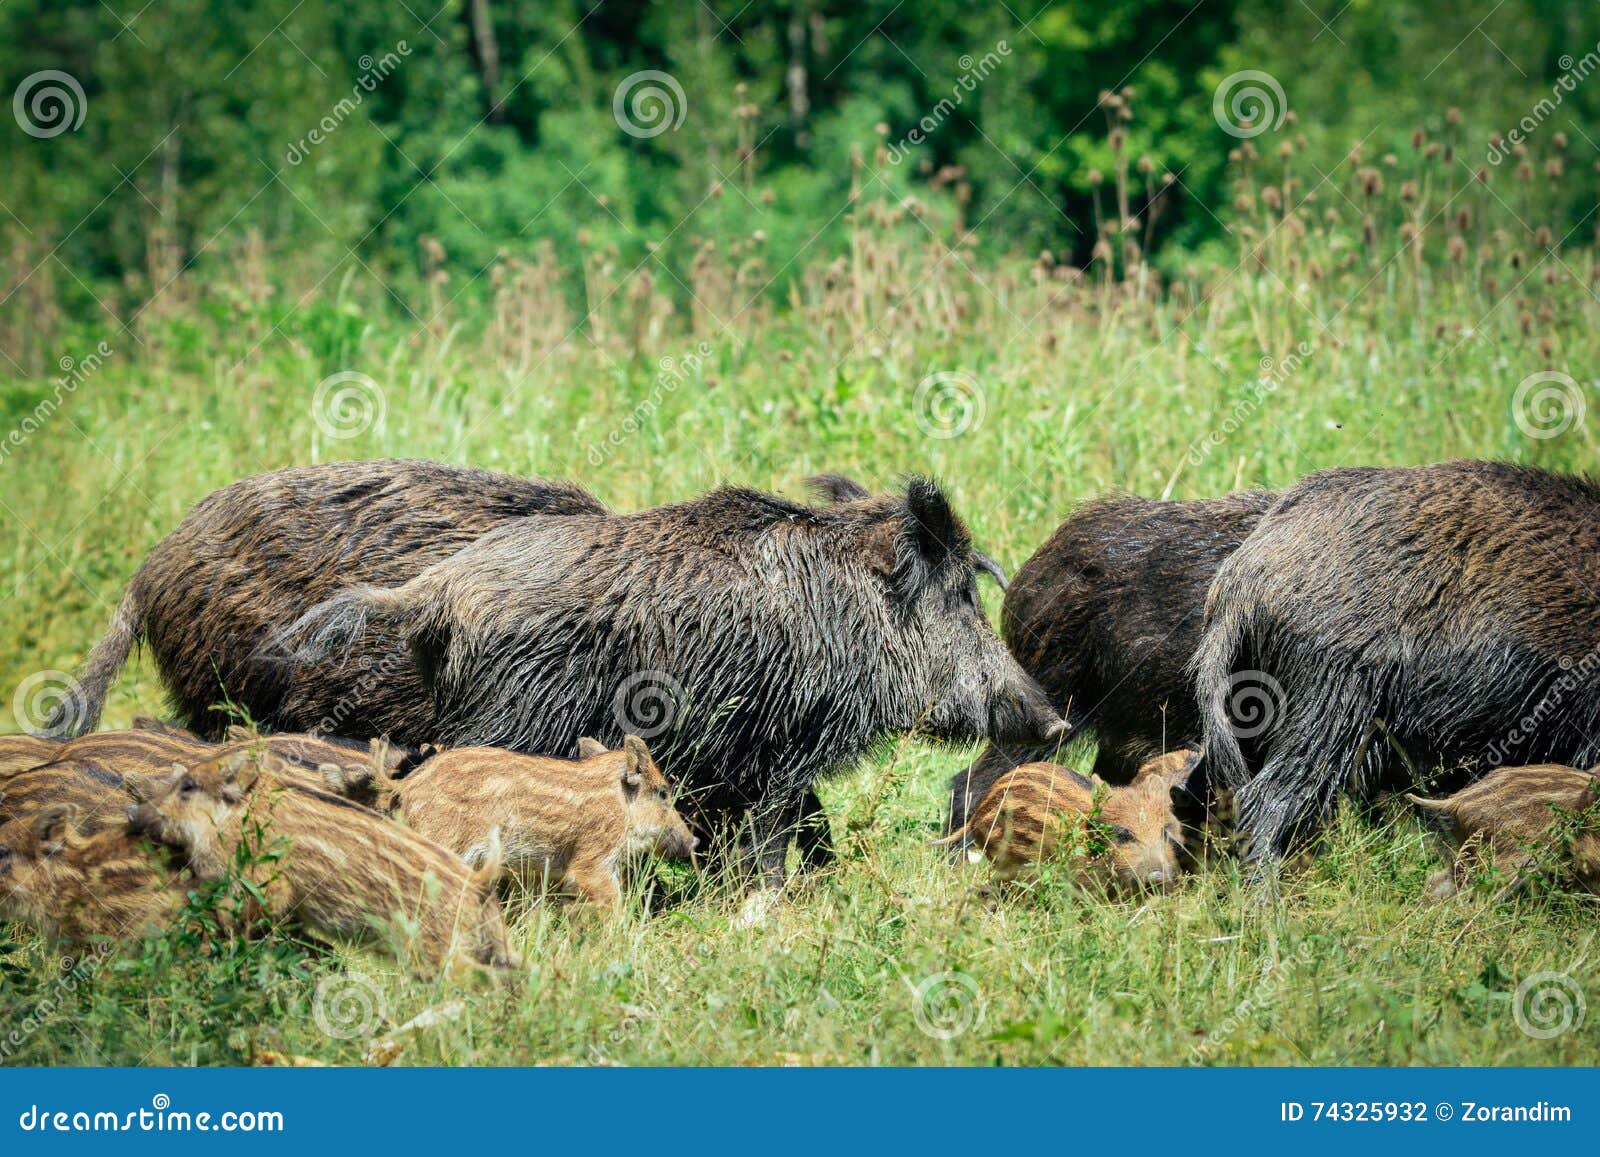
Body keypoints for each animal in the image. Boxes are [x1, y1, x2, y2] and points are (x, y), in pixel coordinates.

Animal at [125, 747, 520, 975]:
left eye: (188, 787)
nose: (134, 816)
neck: (230, 818)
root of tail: (477, 881)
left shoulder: (264, 888)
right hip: (492, 941)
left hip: (434, 949)